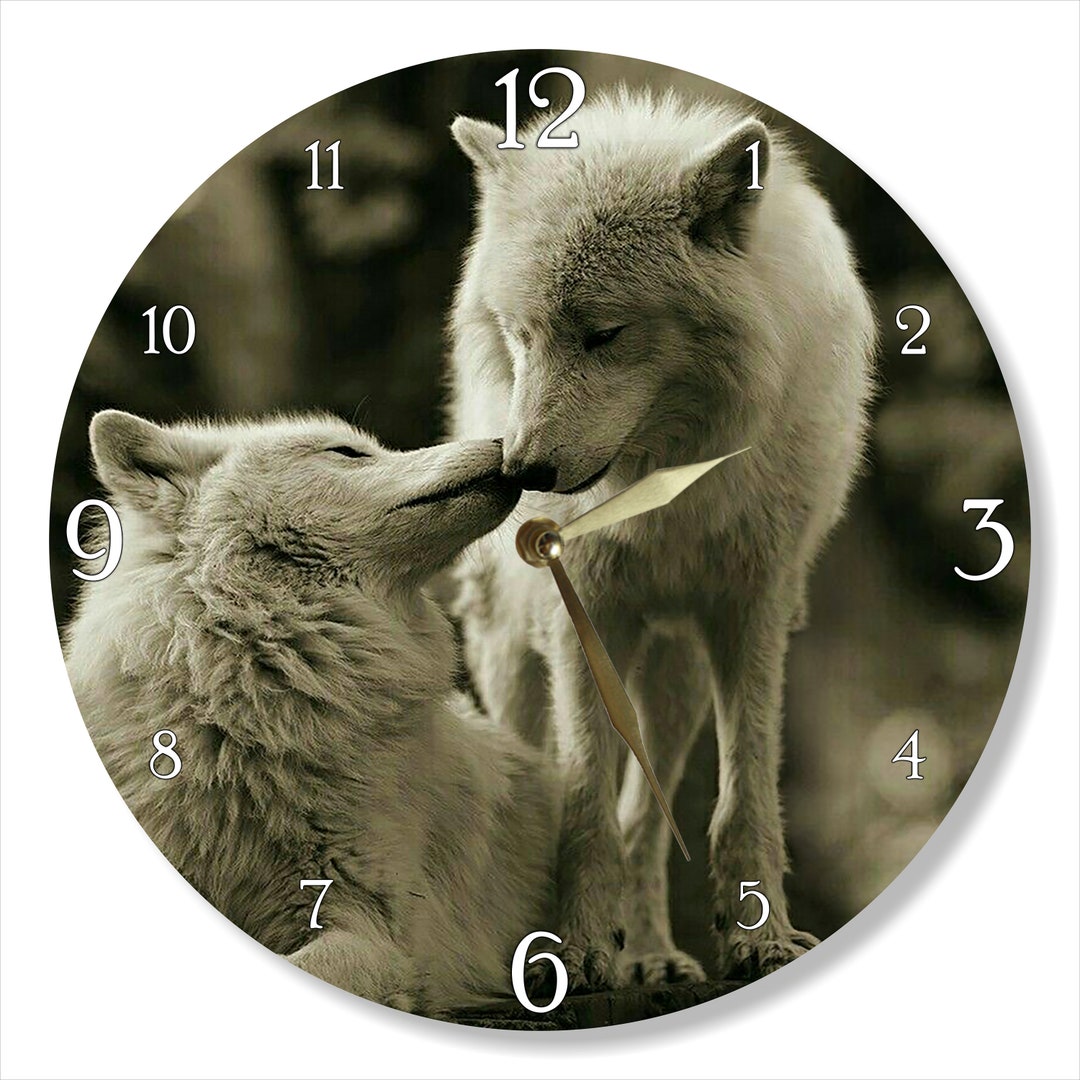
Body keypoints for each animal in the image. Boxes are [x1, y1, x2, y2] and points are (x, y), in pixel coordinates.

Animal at [448, 87, 876, 988]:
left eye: (603, 334)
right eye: (520, 333)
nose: (520, 470)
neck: (669, 487)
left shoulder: (754, 606)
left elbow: (744, 791)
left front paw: (760, 937)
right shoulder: (582, 612)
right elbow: (582, 795)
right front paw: (579, 946)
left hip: (673, 673)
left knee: (648, 808)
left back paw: (648, 951)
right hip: (513, 651)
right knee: (542, 770)